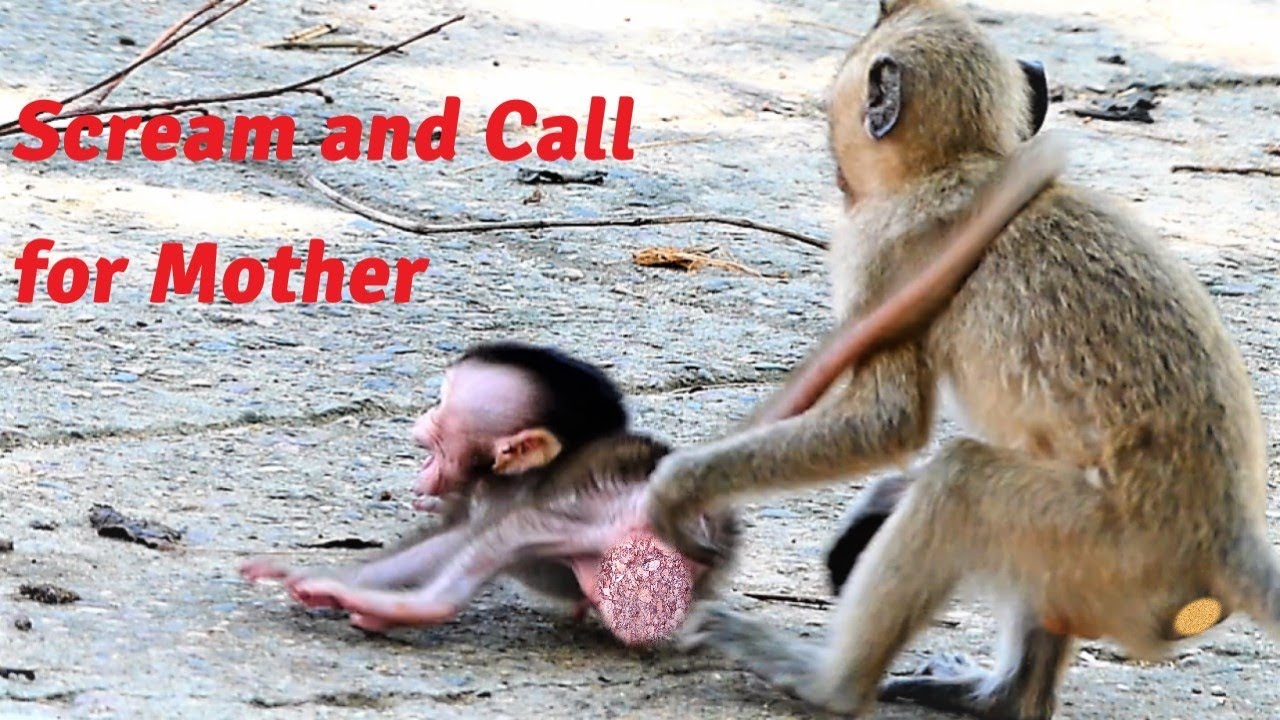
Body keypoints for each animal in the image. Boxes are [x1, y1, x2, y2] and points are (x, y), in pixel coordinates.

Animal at [241, 342, 739, 638]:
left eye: (441, 409)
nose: (419, 422)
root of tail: (704, 520)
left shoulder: (509, 496)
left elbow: (464, 539)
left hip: (616, 515)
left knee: (519, 531)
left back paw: (416, 607)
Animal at [642, 1, 1280, 718]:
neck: (959, 165)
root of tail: (1228, 545)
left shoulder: (880, 255)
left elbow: (884, 422)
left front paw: (681, 484)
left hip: (1114, 551)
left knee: (962, 482)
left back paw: (831, 683)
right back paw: (1003, 696)